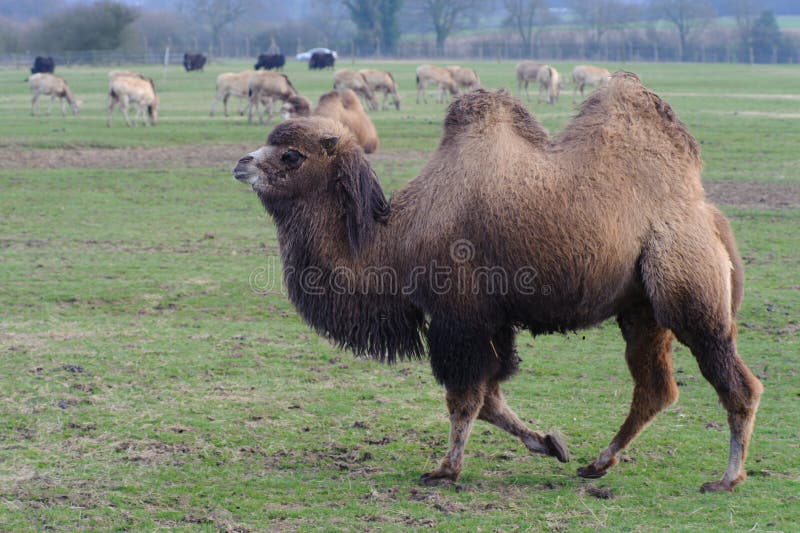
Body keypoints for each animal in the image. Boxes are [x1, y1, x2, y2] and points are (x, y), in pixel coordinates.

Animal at [233, 74, 761, 493]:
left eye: (291, 155)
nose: (241, 163)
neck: (395, 241)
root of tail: (710, 216)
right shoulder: (491, 321)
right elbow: (491, 396)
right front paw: (551, 443)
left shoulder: (458, 316)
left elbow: (466, 396)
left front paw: (445, 470)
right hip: (640, 308)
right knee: (654, 386)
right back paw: (597, 463)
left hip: (686, 289)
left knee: (735, 379)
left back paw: (725, 478)